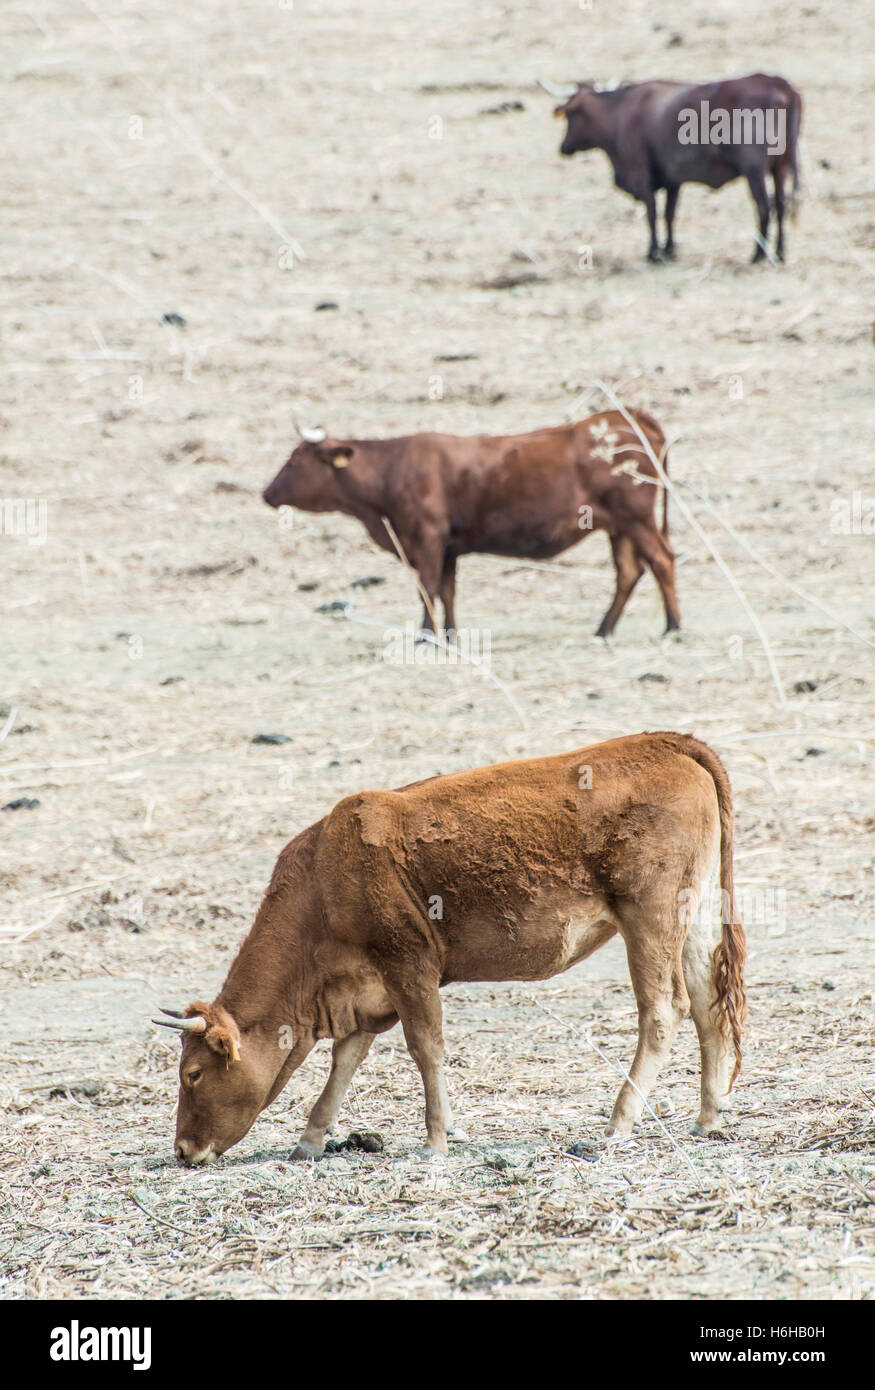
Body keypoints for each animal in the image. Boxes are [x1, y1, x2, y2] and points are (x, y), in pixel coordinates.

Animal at [155, 731, 747, 1165]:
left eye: (193, 1074)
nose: (183, 1150)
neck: (323, 880)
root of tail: (666, 742)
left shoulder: (409, 964)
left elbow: (426, 1048)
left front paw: (437, 1139)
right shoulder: (366, 991)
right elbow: (345, 1060)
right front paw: (311, 1138)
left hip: (649, 916)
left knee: (664, 1010)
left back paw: (620, 1122)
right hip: (692, 915)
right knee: (707, 1003)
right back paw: (707, 1116)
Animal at [263, 409, 679, 637]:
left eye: (295, 460)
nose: (267, 493)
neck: (392, 470)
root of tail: (626, 415)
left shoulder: (427, 539)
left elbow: (427, 588)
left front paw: (425, 636)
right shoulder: (447, 548)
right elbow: (447, 591)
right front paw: (449, 635)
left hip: (637, 519)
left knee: (661, 561)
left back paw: (672, 626)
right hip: (620, 526)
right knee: (629, 572)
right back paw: (604, 628)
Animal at [551, 73, 802, 263]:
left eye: (570, 115)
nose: (563, 147)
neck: (622, 112)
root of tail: (776, 81)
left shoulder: (641, 176)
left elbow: (652, 213)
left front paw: (653, 253)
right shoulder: (673, 180)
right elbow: (669, 214)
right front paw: (670, 250)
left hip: (754, 171)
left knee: (765, 207)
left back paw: (758, 254)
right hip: (781, 168)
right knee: (781, 205)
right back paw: (780, 252)